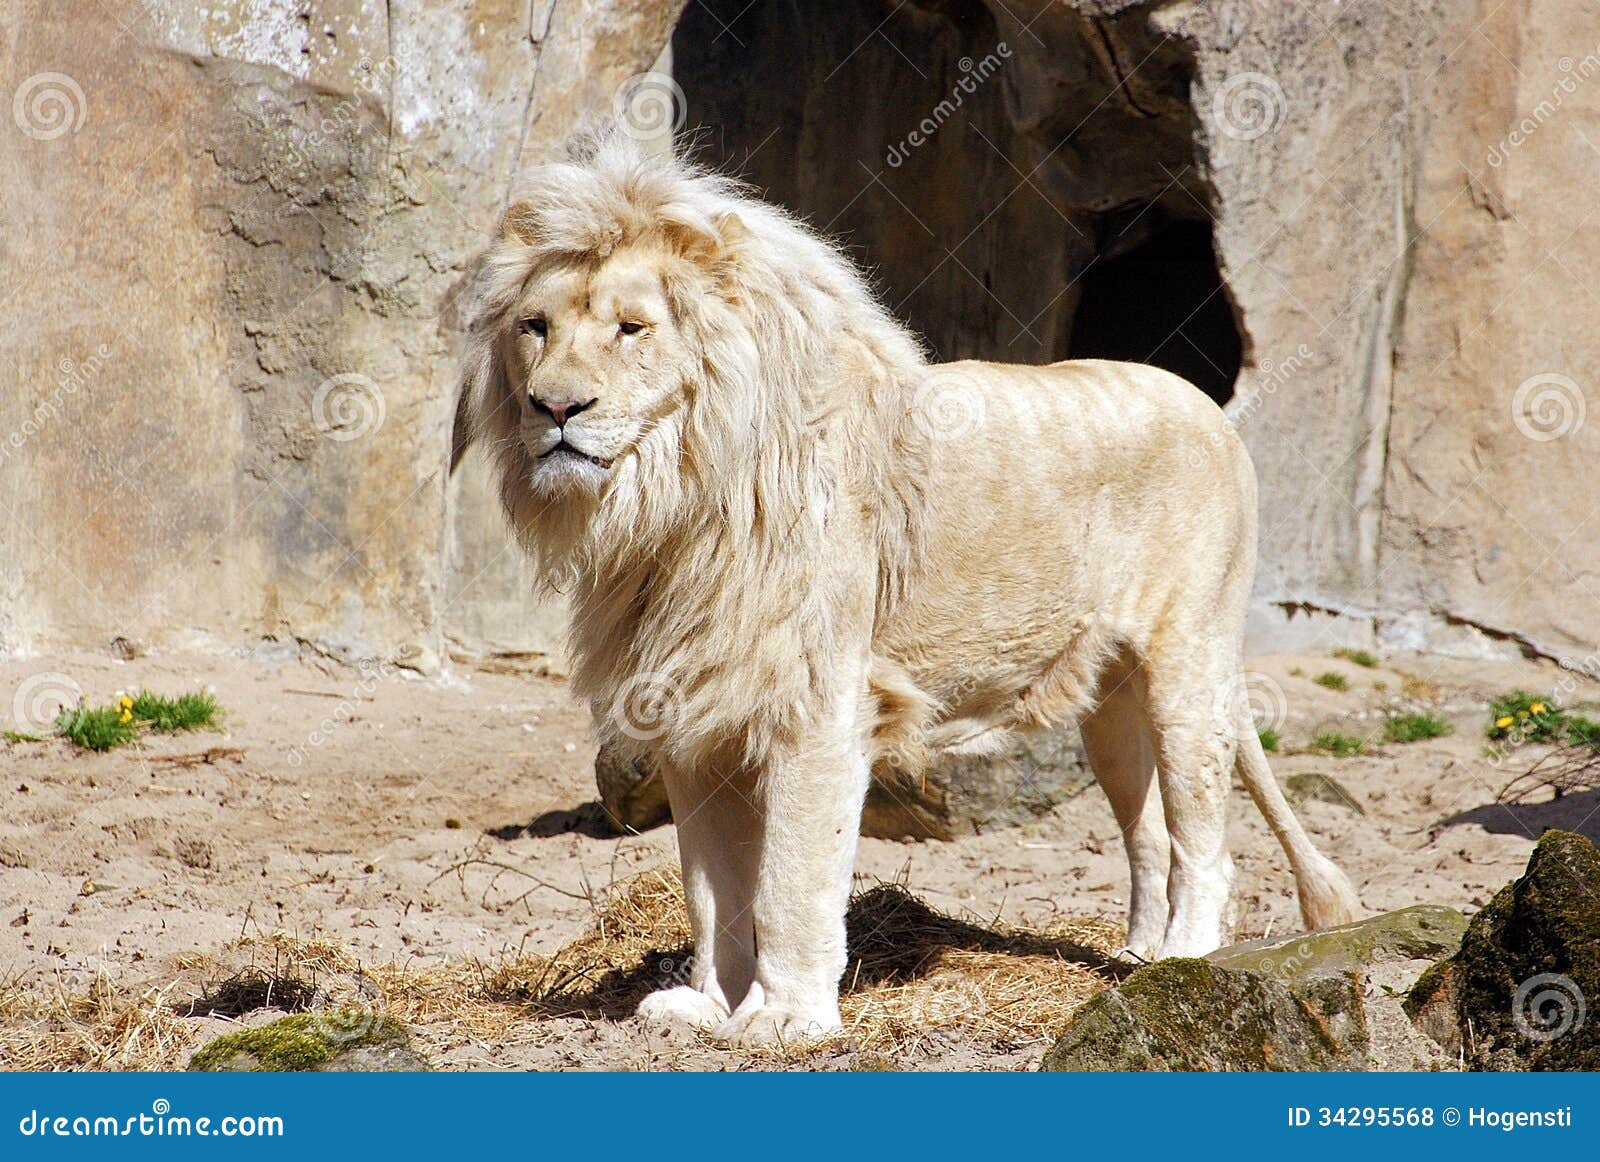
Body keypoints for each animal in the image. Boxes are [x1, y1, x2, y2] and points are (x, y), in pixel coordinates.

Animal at [453, 129, 1360, 1045]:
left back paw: (1183, 963)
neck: (672, 502)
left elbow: (789, 880)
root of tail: (1208, 406)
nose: (553, 407)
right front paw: (708, 1005)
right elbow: (711, 888)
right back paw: (1136, 966)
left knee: (1205, 842)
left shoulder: (819, 705)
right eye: (535, 327)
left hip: (1190, 668)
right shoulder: (696, 715)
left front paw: (787, 1018)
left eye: (630, 328)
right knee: (1149, 836)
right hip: (1110, 703)